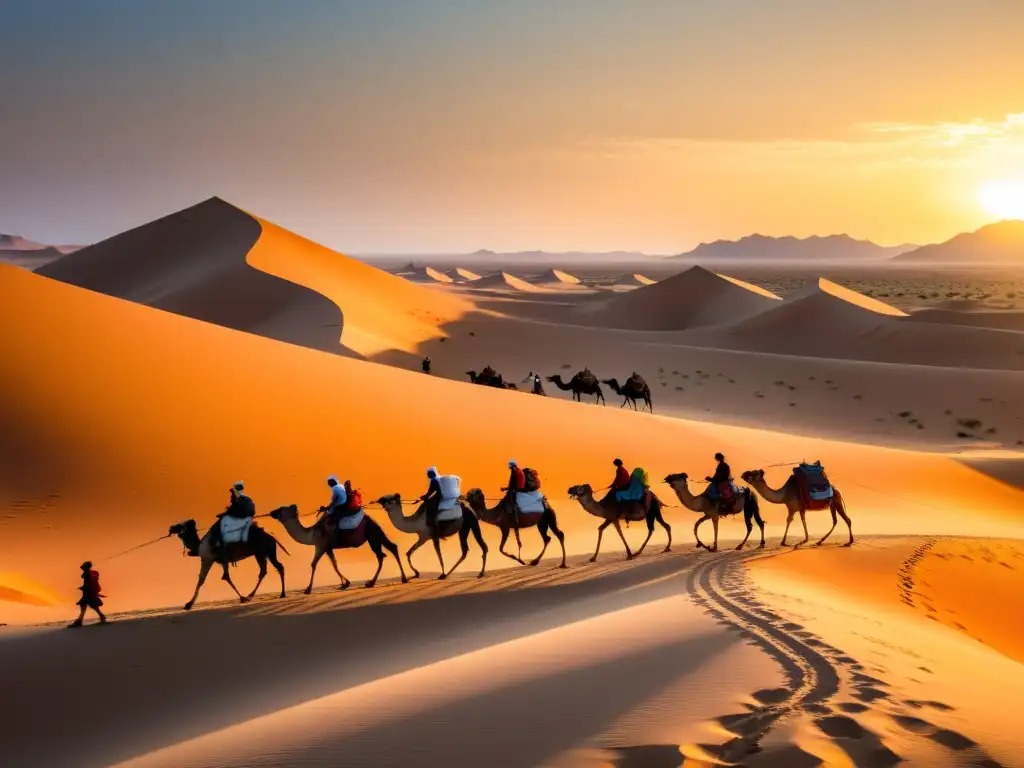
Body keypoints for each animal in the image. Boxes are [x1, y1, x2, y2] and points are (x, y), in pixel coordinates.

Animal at [270, 505, 409, 593]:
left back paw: (372, 582)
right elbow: (334, 564)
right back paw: (399, 579)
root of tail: (373, 522)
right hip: (375, 535)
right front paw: (344, 584)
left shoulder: (320, 545)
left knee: (381, 555)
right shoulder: (328, 548)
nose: (272, 512)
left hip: (372, 535)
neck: (311, 533)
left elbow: (314, 564)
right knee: (391, 548)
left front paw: (308, 589)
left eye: (281, 509)